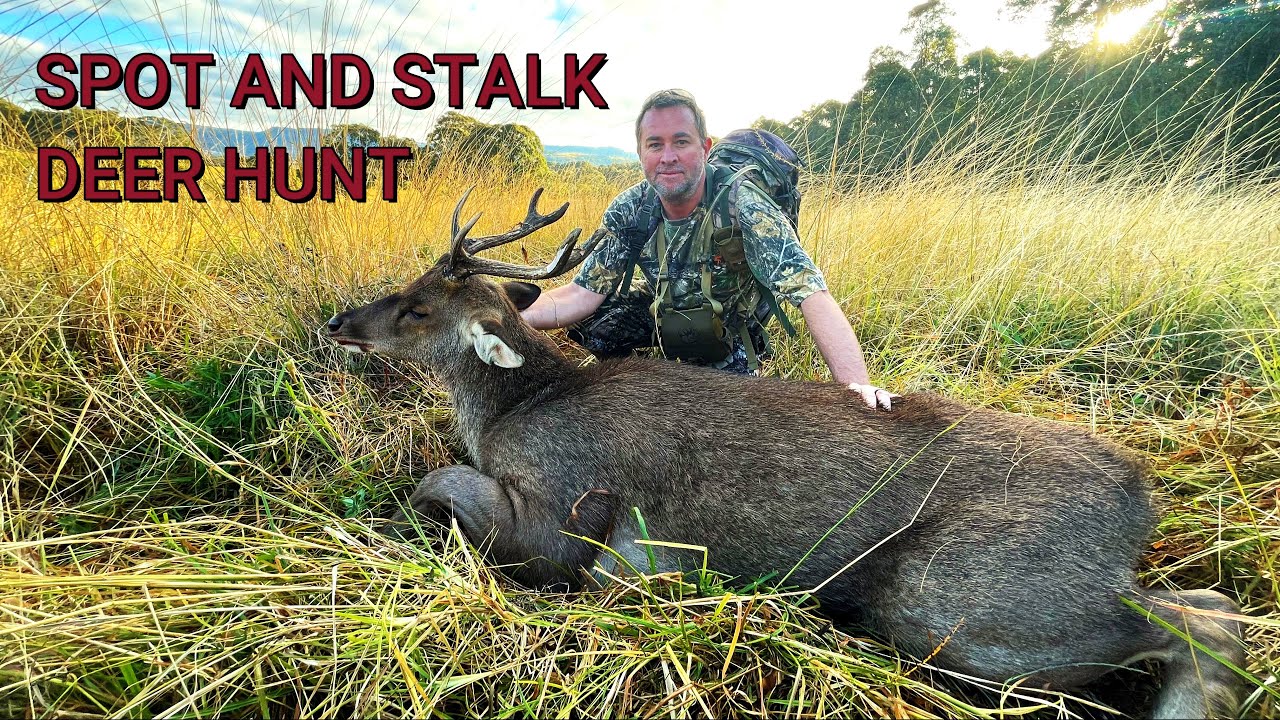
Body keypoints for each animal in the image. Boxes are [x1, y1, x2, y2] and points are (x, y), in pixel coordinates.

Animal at [325, 188, 1245, 718]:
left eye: (418, 306)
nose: (339, 321)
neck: (520, 406)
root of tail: (1139, 495)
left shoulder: (561, 514)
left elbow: (439, 480)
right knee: (1212, 601)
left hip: (956, 601)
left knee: (1205, 627)